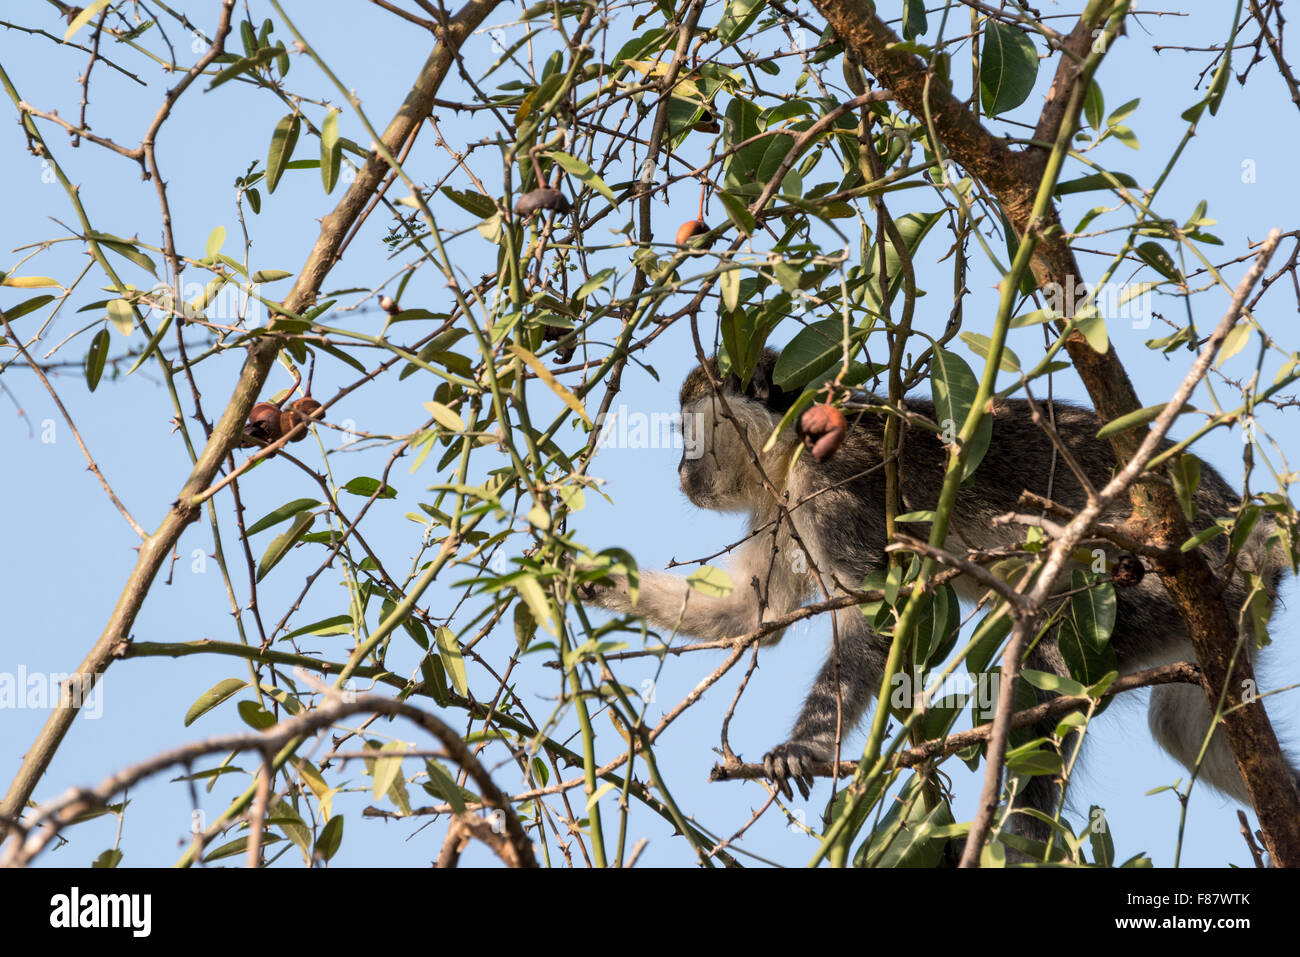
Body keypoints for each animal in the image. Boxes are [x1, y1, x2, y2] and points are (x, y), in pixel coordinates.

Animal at [582, 347, 1296, 845]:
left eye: (689, 437)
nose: (681, 471)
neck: (791, 451)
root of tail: (1246, 532)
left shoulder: (832, 485)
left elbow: (877, 621)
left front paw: (803, 748)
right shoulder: (779, 510)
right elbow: (748, 615)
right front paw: (582, 576)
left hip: (1169, 587)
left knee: (1046, 671)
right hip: (1215, 620)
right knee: (1185, 728)